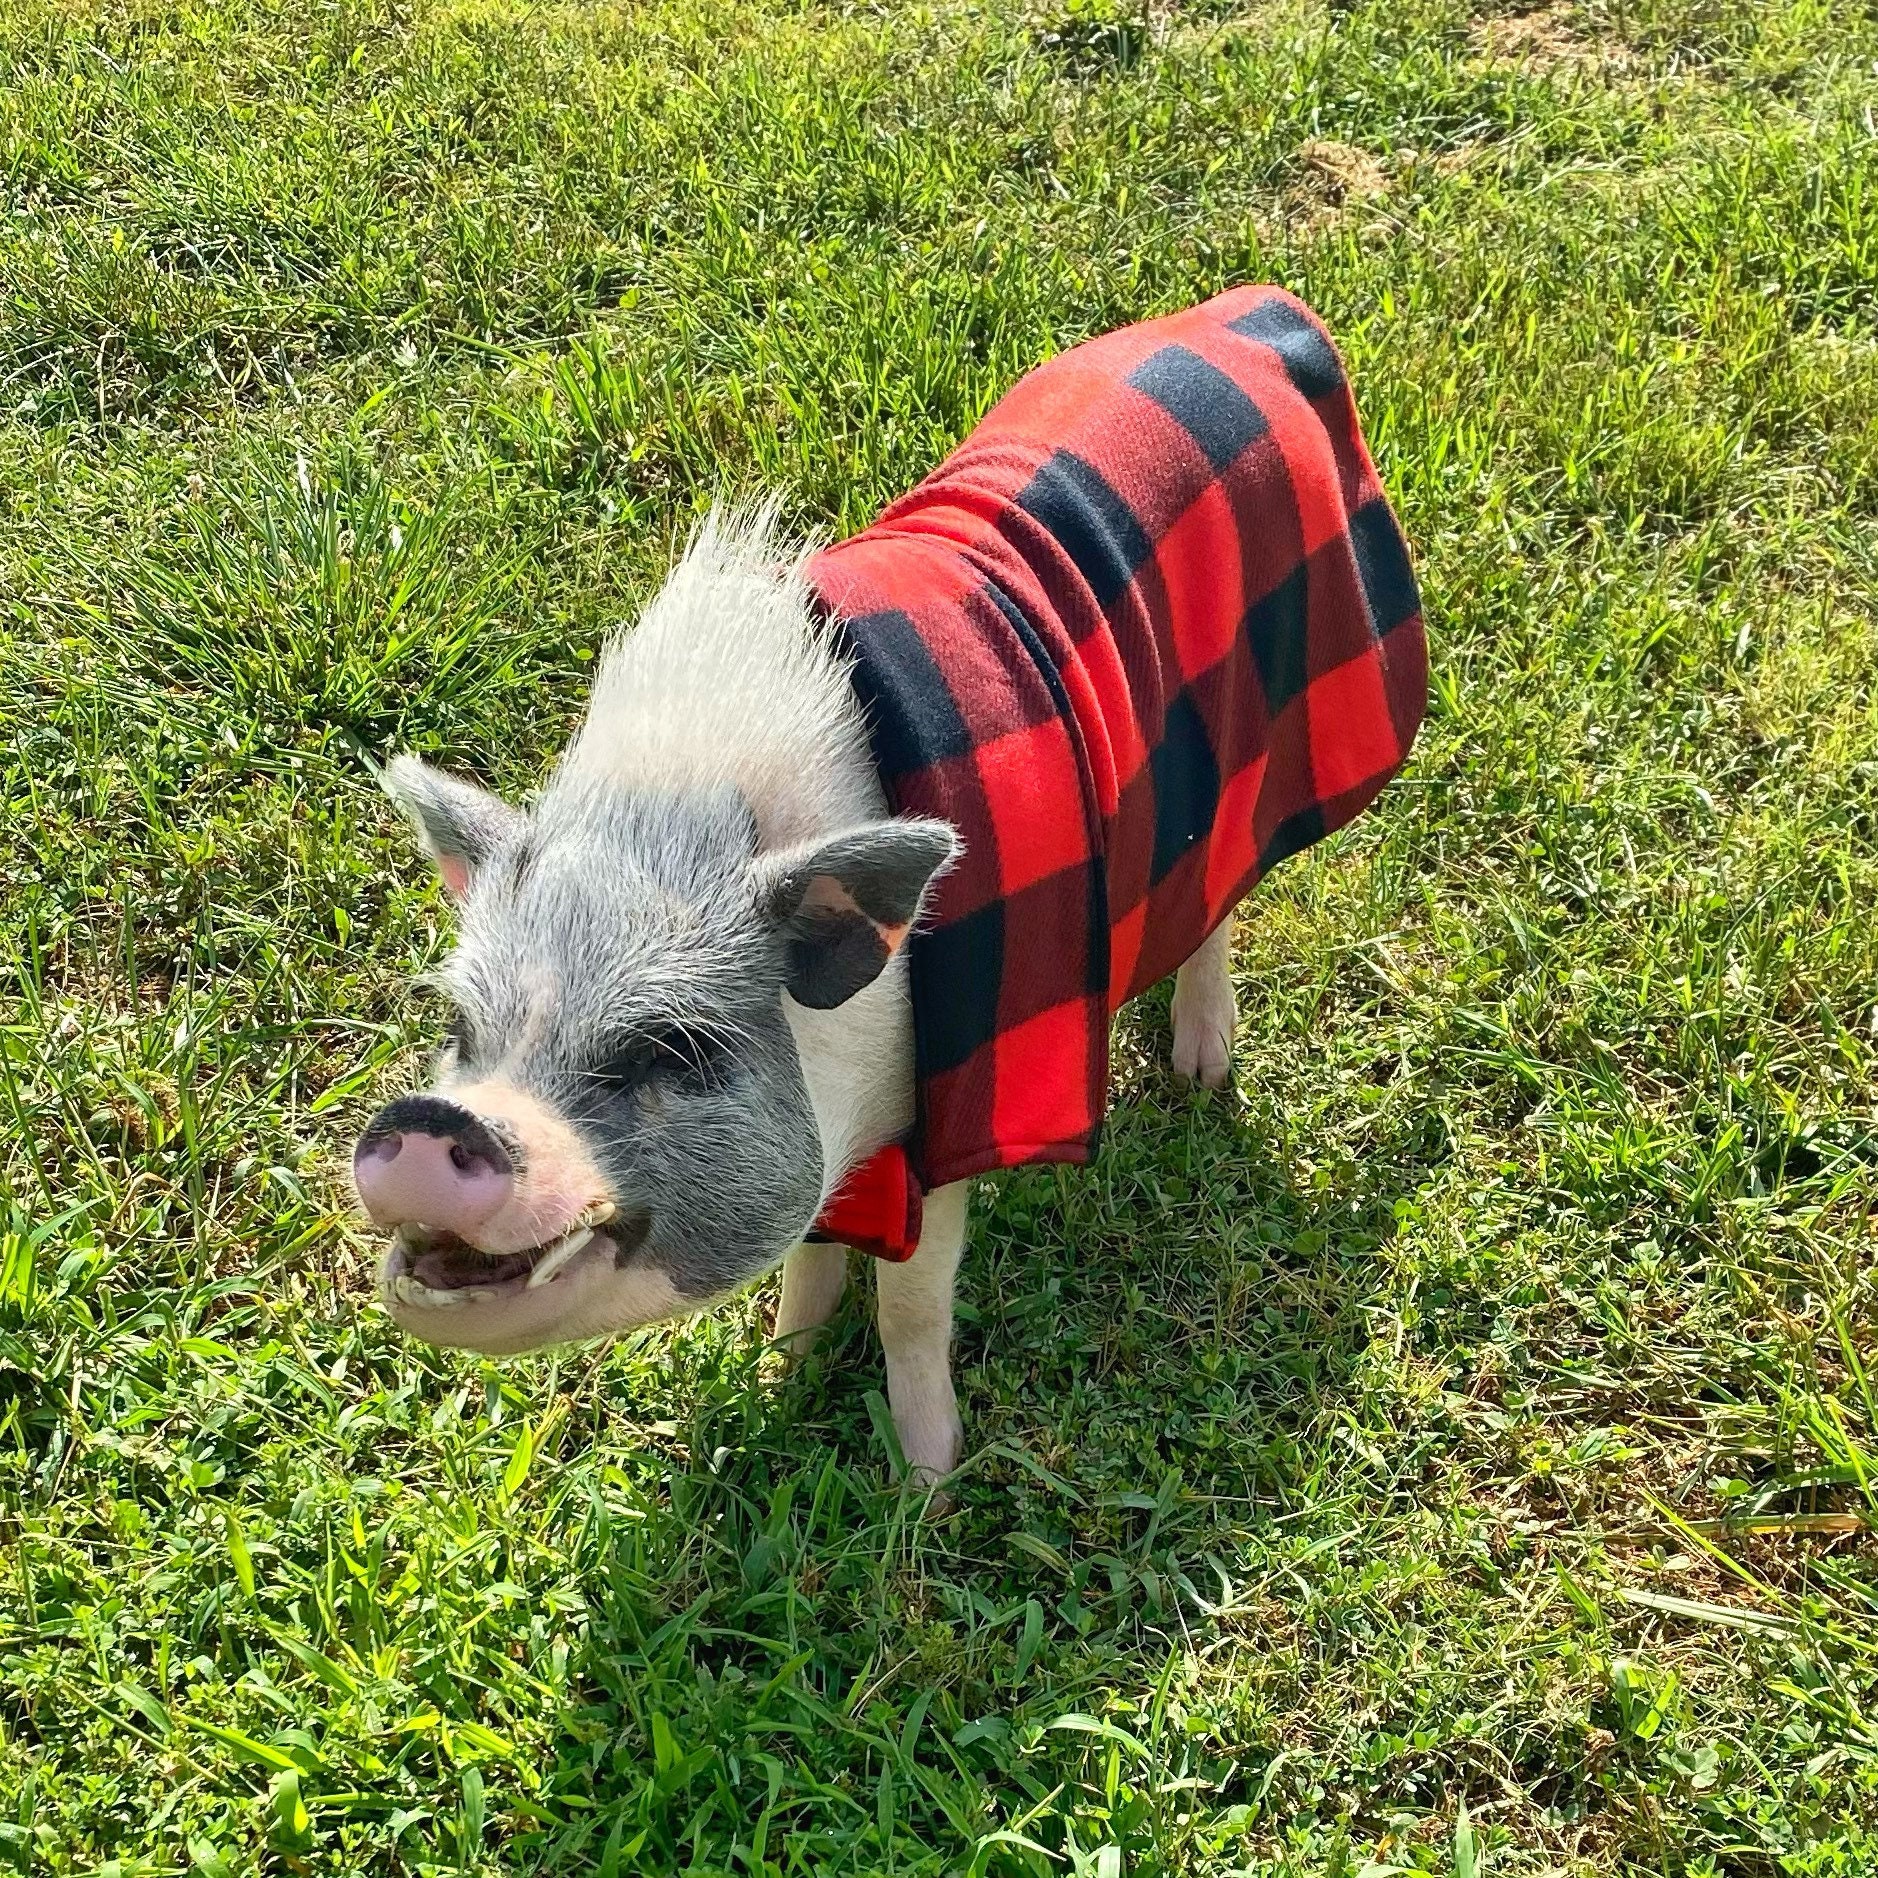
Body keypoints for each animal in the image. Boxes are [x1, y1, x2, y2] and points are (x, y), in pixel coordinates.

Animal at [354, 288, 1425, 1482]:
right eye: (462, 1030)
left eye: (677, 1051)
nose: (429, 1118)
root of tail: (1259, 314)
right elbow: (810, 1263)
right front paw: (780, 1375)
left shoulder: (956, 1116)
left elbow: (910, 1306)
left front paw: (931, 1480)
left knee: (1223, 903)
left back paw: (1200, 1076)